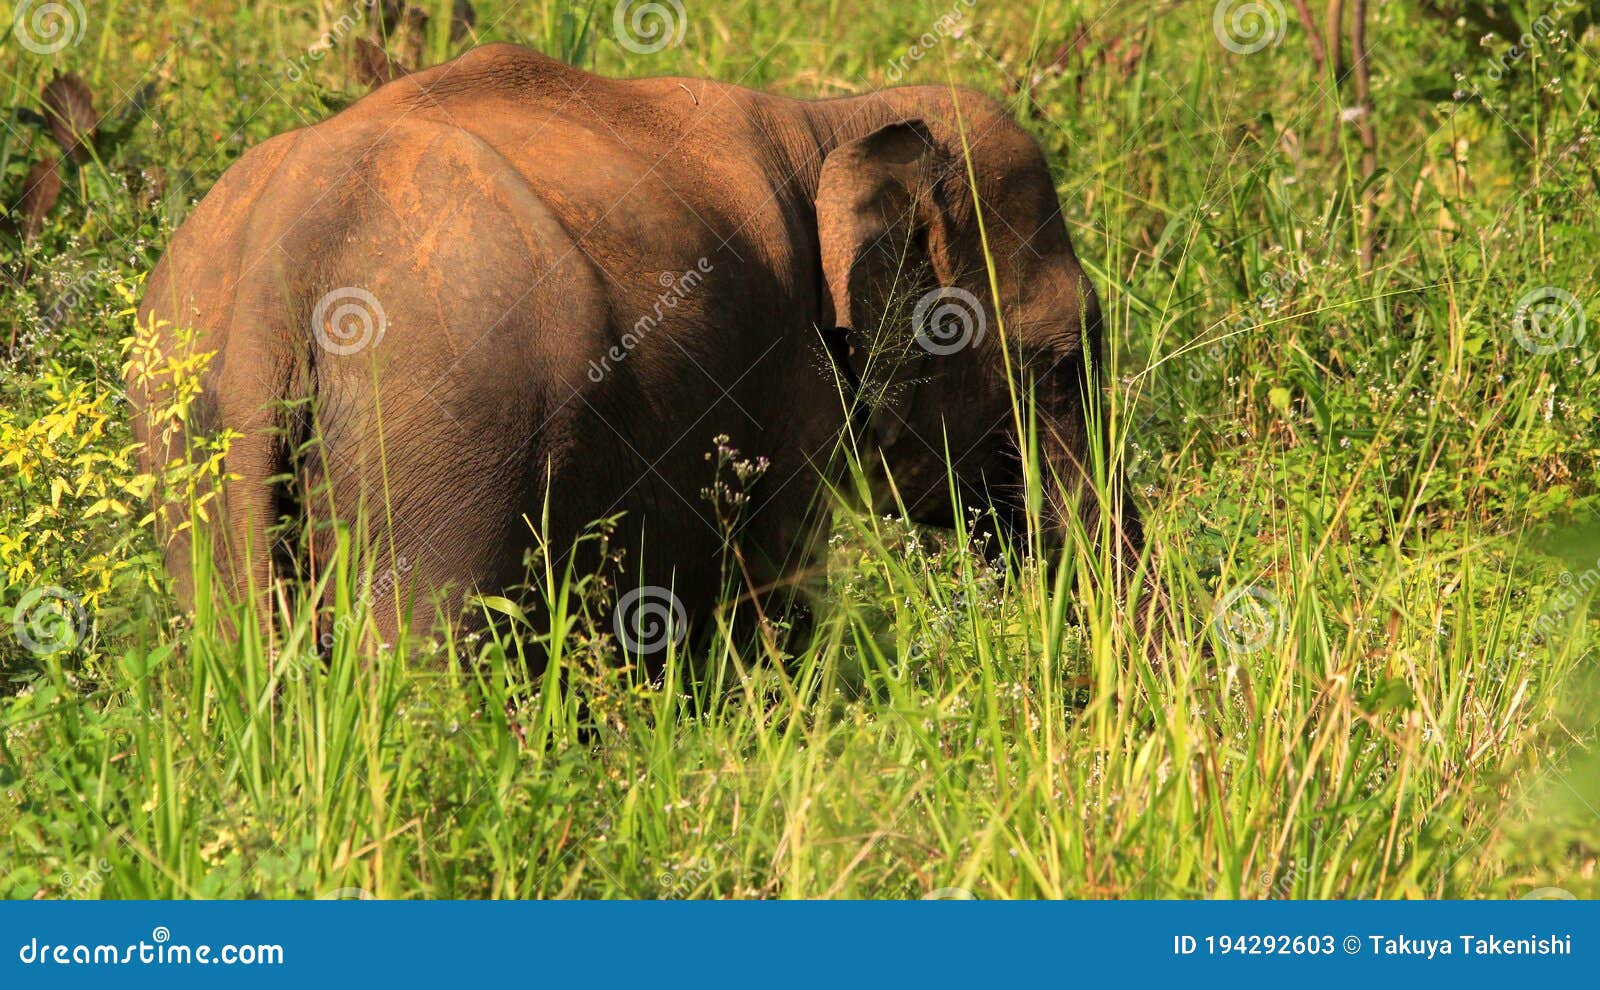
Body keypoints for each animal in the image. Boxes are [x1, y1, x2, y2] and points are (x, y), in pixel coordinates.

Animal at [131, 43, 1149, 662]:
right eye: (1060, 363)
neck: (834, 121)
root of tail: (285, 268)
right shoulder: (790, 378)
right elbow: (769, 594)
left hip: (192, 439)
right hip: (447, 439)